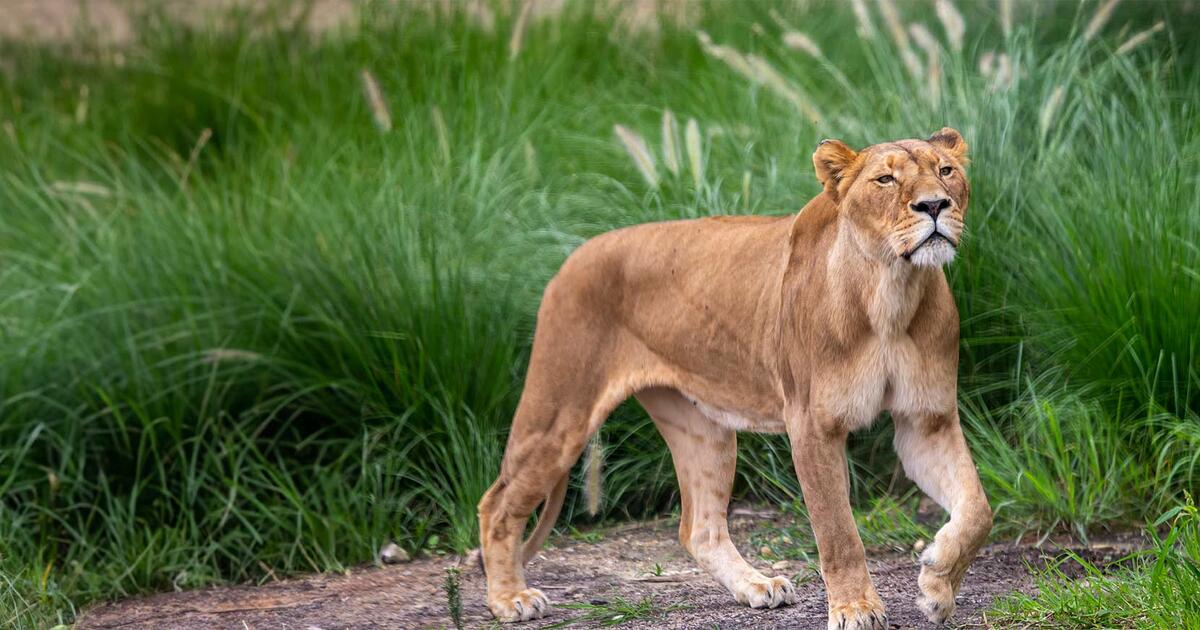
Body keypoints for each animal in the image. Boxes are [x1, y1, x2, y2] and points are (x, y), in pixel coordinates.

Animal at [477, 128, 993, 629]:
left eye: (946, 171)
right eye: (885, 179)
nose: (934, 205)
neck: (891, 291)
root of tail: (573, 256)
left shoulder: (926, 421)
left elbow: (977, 511)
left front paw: (937, 586)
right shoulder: (812, 426)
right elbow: (838, 531)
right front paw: (856, 608)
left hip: (701, 429)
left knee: (699, 528)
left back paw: (756, 585)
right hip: (560, 412)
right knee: (496, 504)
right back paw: (510, 599)